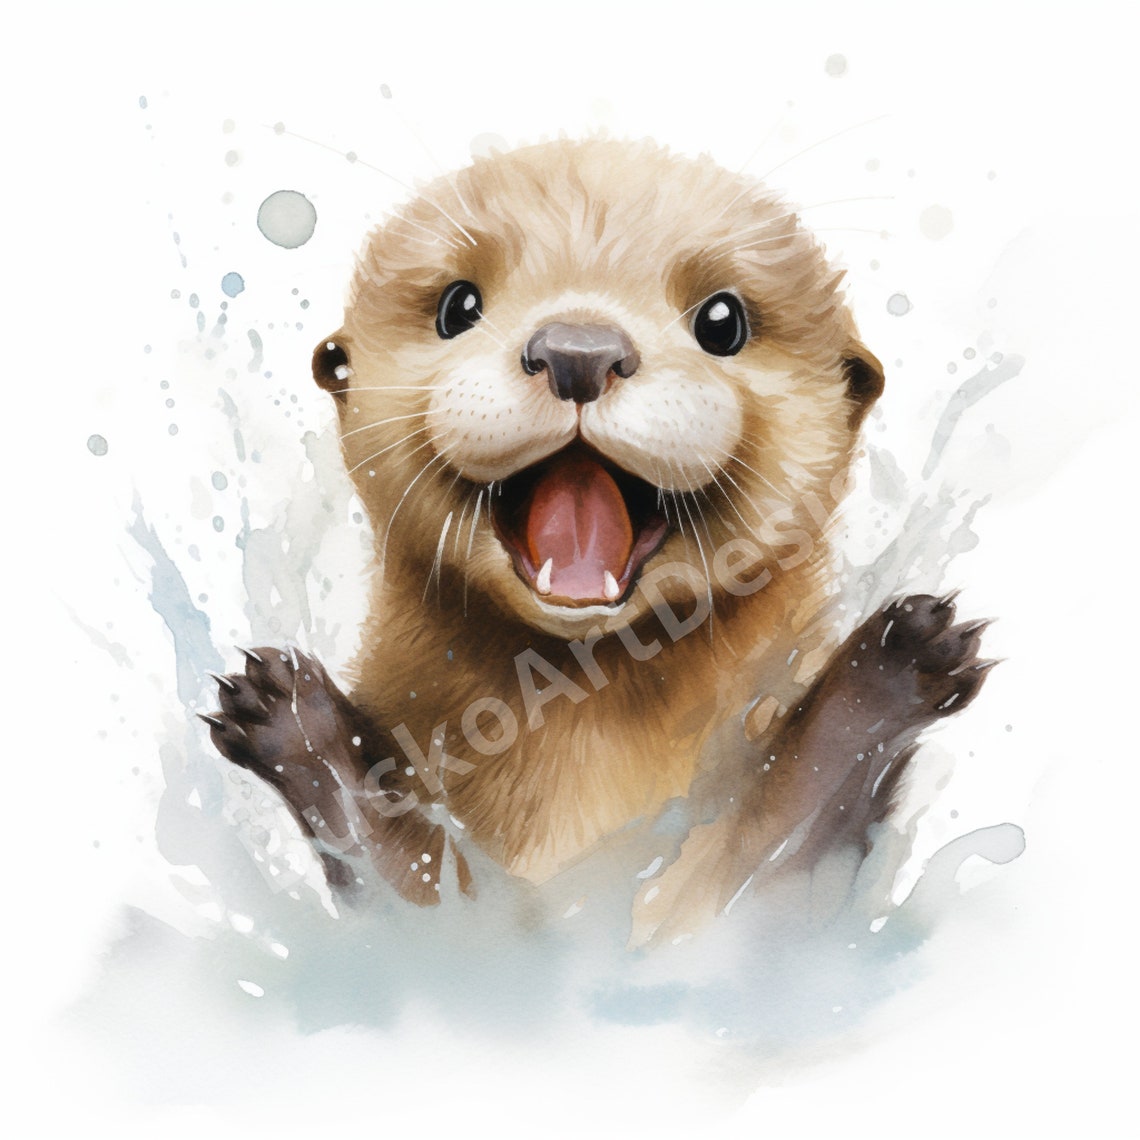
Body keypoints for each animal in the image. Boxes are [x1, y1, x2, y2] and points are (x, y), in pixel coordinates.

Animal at [203, 138, 992, 944]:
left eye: (723, 320)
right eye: (458, 306)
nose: (577, 351)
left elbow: (766, 847)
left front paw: (898, 660)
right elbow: (417, 890)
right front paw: (293, 718)